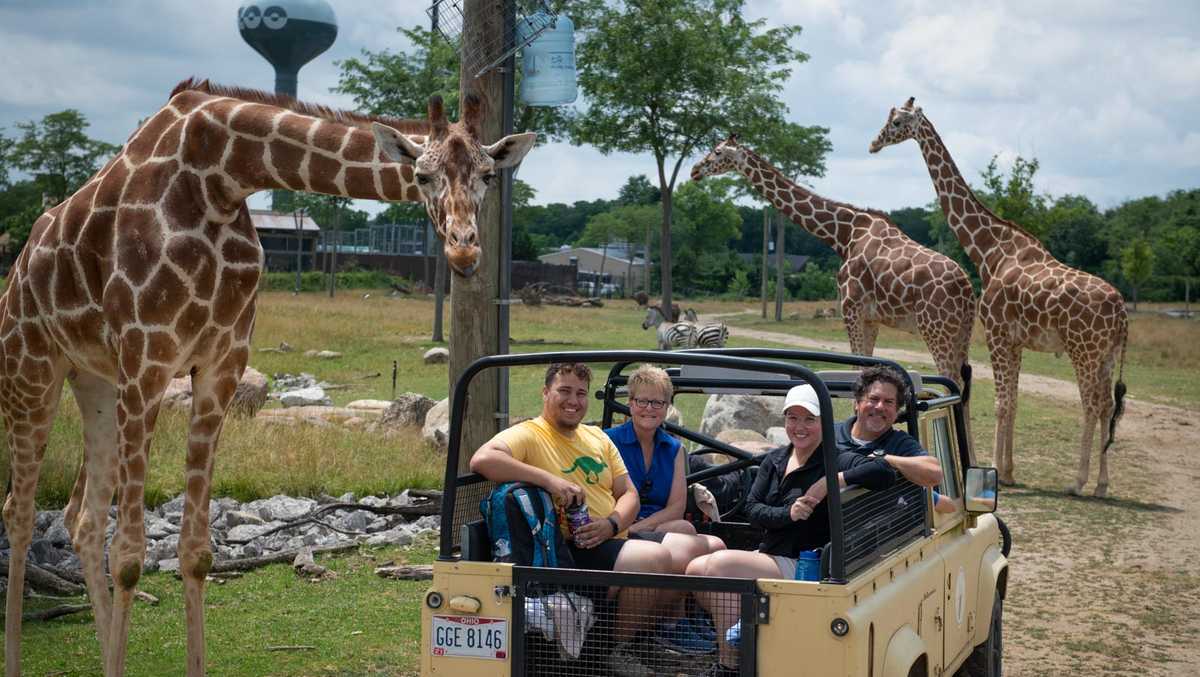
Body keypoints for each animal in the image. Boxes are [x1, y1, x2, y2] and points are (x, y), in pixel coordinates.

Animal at [0, 78, 535, 677]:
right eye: (421, 174)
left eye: (488, 176)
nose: (465, 252)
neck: (221, 176)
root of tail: (16, 273)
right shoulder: (147, 358)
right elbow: (131, 557)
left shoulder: (219, 366)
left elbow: (197, 551)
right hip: (32, 370)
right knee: (21, 512)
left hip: (93, 381)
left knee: (83, 519)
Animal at [691, 136, 978, 403]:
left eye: (717, 151)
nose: (695, 170)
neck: (844, 234)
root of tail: (967, 289)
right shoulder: (871, 318)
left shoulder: (851, 308)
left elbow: (856, 371)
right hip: (960, 333)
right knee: (962, 387)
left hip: (936, 330)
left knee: (951, 381)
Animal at [869, 98, 1128, 496]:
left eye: (896, 122)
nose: (874, 144)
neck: (989, 251)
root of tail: (1122, 313)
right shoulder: (1016, 340)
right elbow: (1015, 401)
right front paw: (1007, 471)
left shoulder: (996, 333)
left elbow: (1001, 402)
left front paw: (992, 471)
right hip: (1106, 354)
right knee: (1106, 406)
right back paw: (1101, 484)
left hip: (1084, 349)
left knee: (1091, 403)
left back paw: (1079, 481)